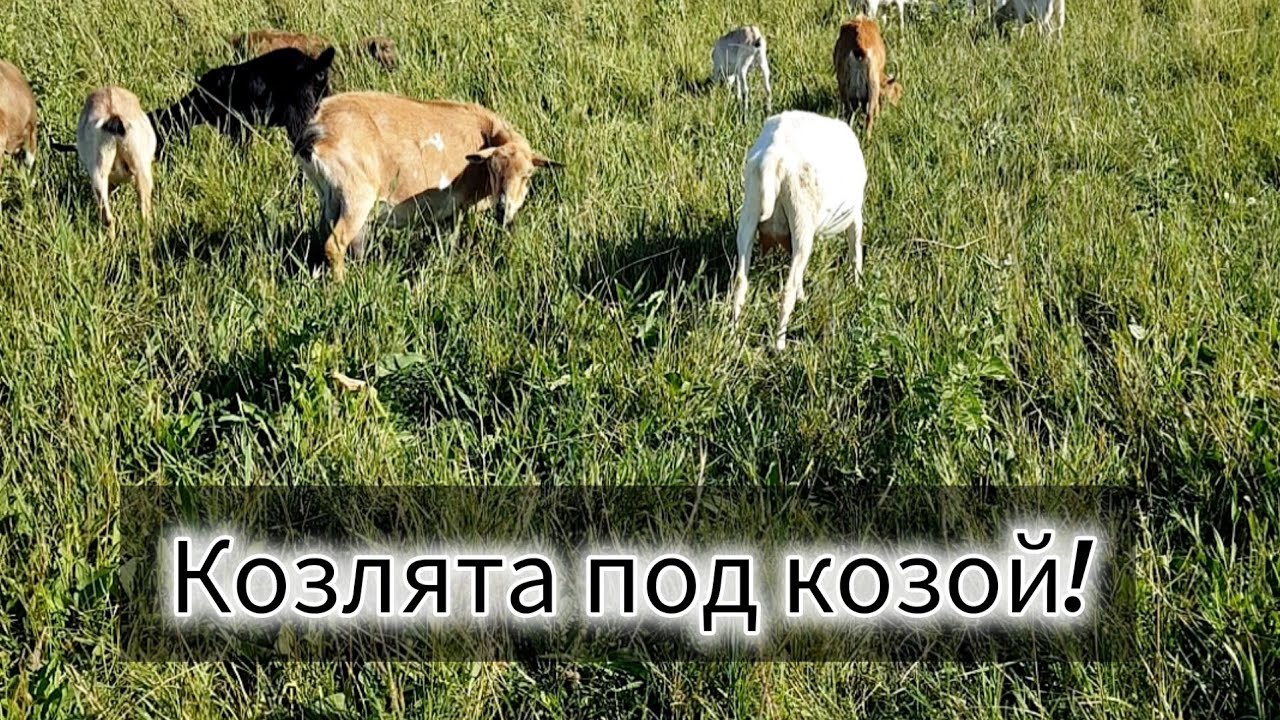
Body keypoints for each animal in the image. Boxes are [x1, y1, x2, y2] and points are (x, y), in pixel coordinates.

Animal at [294, 92, 560, 281]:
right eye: (494, 169)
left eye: (527, 175)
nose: (504, 209)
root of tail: (317, 130)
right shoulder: (457, 207)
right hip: (356, 197)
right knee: (335, 244)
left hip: (330, 198)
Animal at [731, 111, 868, 351]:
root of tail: (773, 158)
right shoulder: (855, 215)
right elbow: (855, 253)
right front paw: (857, 287)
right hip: (801, 214)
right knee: (786, 291)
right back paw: (779, 345)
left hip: (750, 210)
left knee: (740, 283)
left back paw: (735, 338)